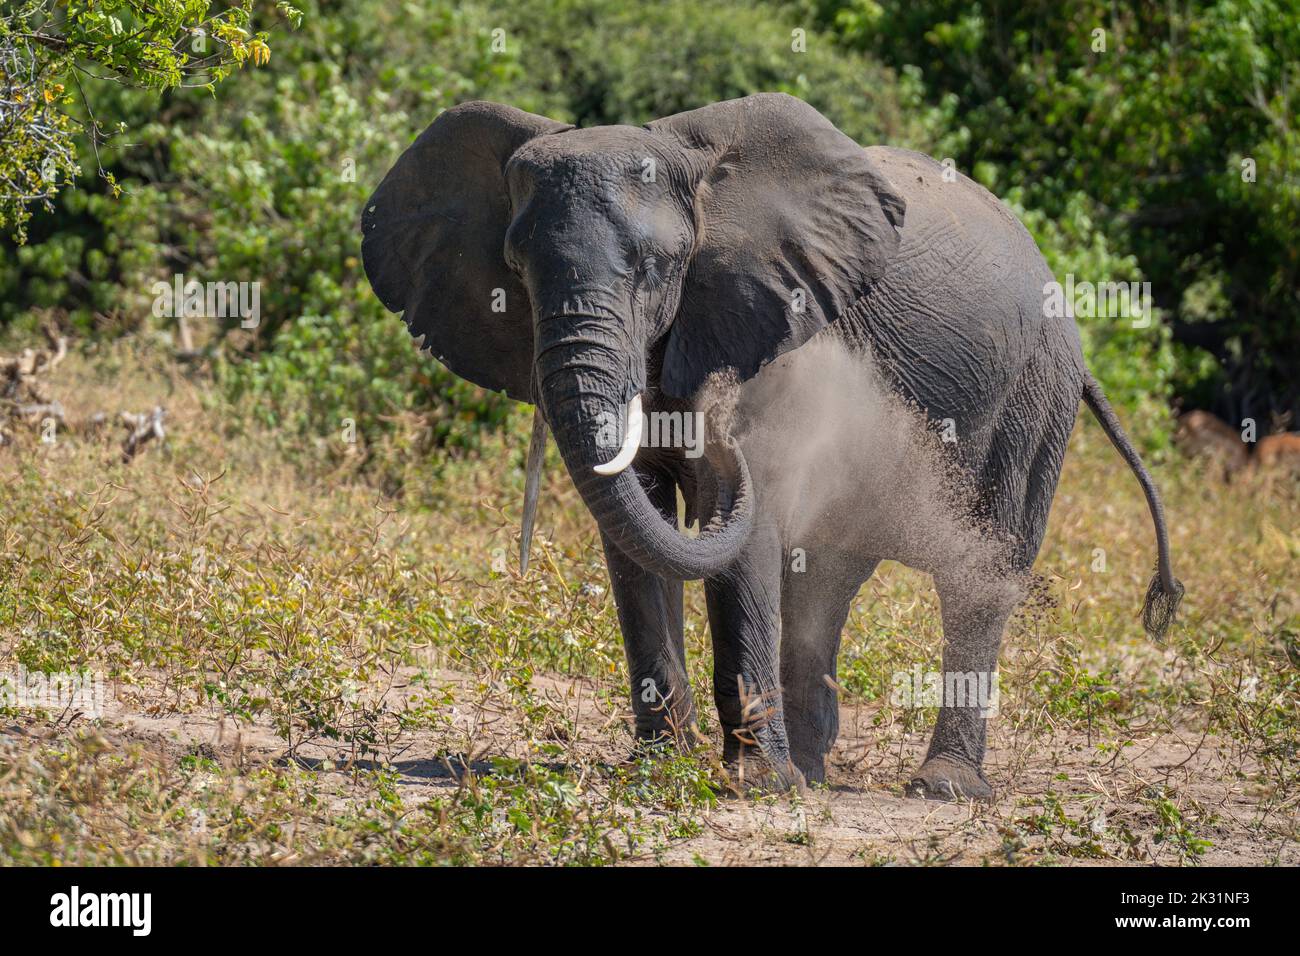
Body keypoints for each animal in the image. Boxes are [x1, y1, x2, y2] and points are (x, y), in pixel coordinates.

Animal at [360, 93, 1183, 799]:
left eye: (658, 268)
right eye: (516, 271)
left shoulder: (769, 326)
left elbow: (746, 531)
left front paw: (755, 787)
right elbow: (638, 525)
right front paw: (660, 773)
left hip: (1033, 400)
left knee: (978, 576)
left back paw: (940, 787)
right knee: (825, 577)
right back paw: (816, 772)